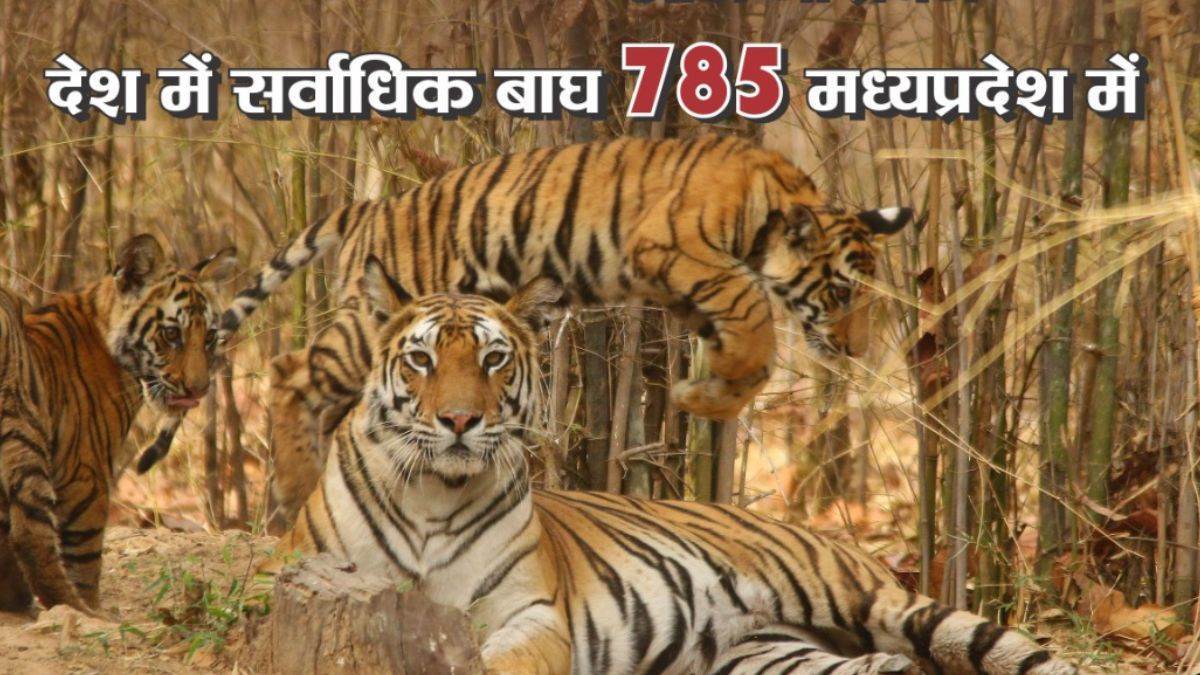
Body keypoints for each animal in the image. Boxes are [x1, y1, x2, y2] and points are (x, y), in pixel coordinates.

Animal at [0, 235, 236, 614]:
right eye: (172, 334)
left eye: (210, 336)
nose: (198, 390)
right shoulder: (85, 475)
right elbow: (84, 558)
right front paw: (89, 606)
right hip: (25, 426)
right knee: (32, 535)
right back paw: (77, 610)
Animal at [266, 262, 1076, 675]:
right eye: (422, 359)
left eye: (493, 359)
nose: (460, 421)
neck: (434, 493)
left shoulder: (532, 612)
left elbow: (501, 663)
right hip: (765, 658)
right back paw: (886, 672)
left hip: (872, 599)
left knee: (1016, 654)